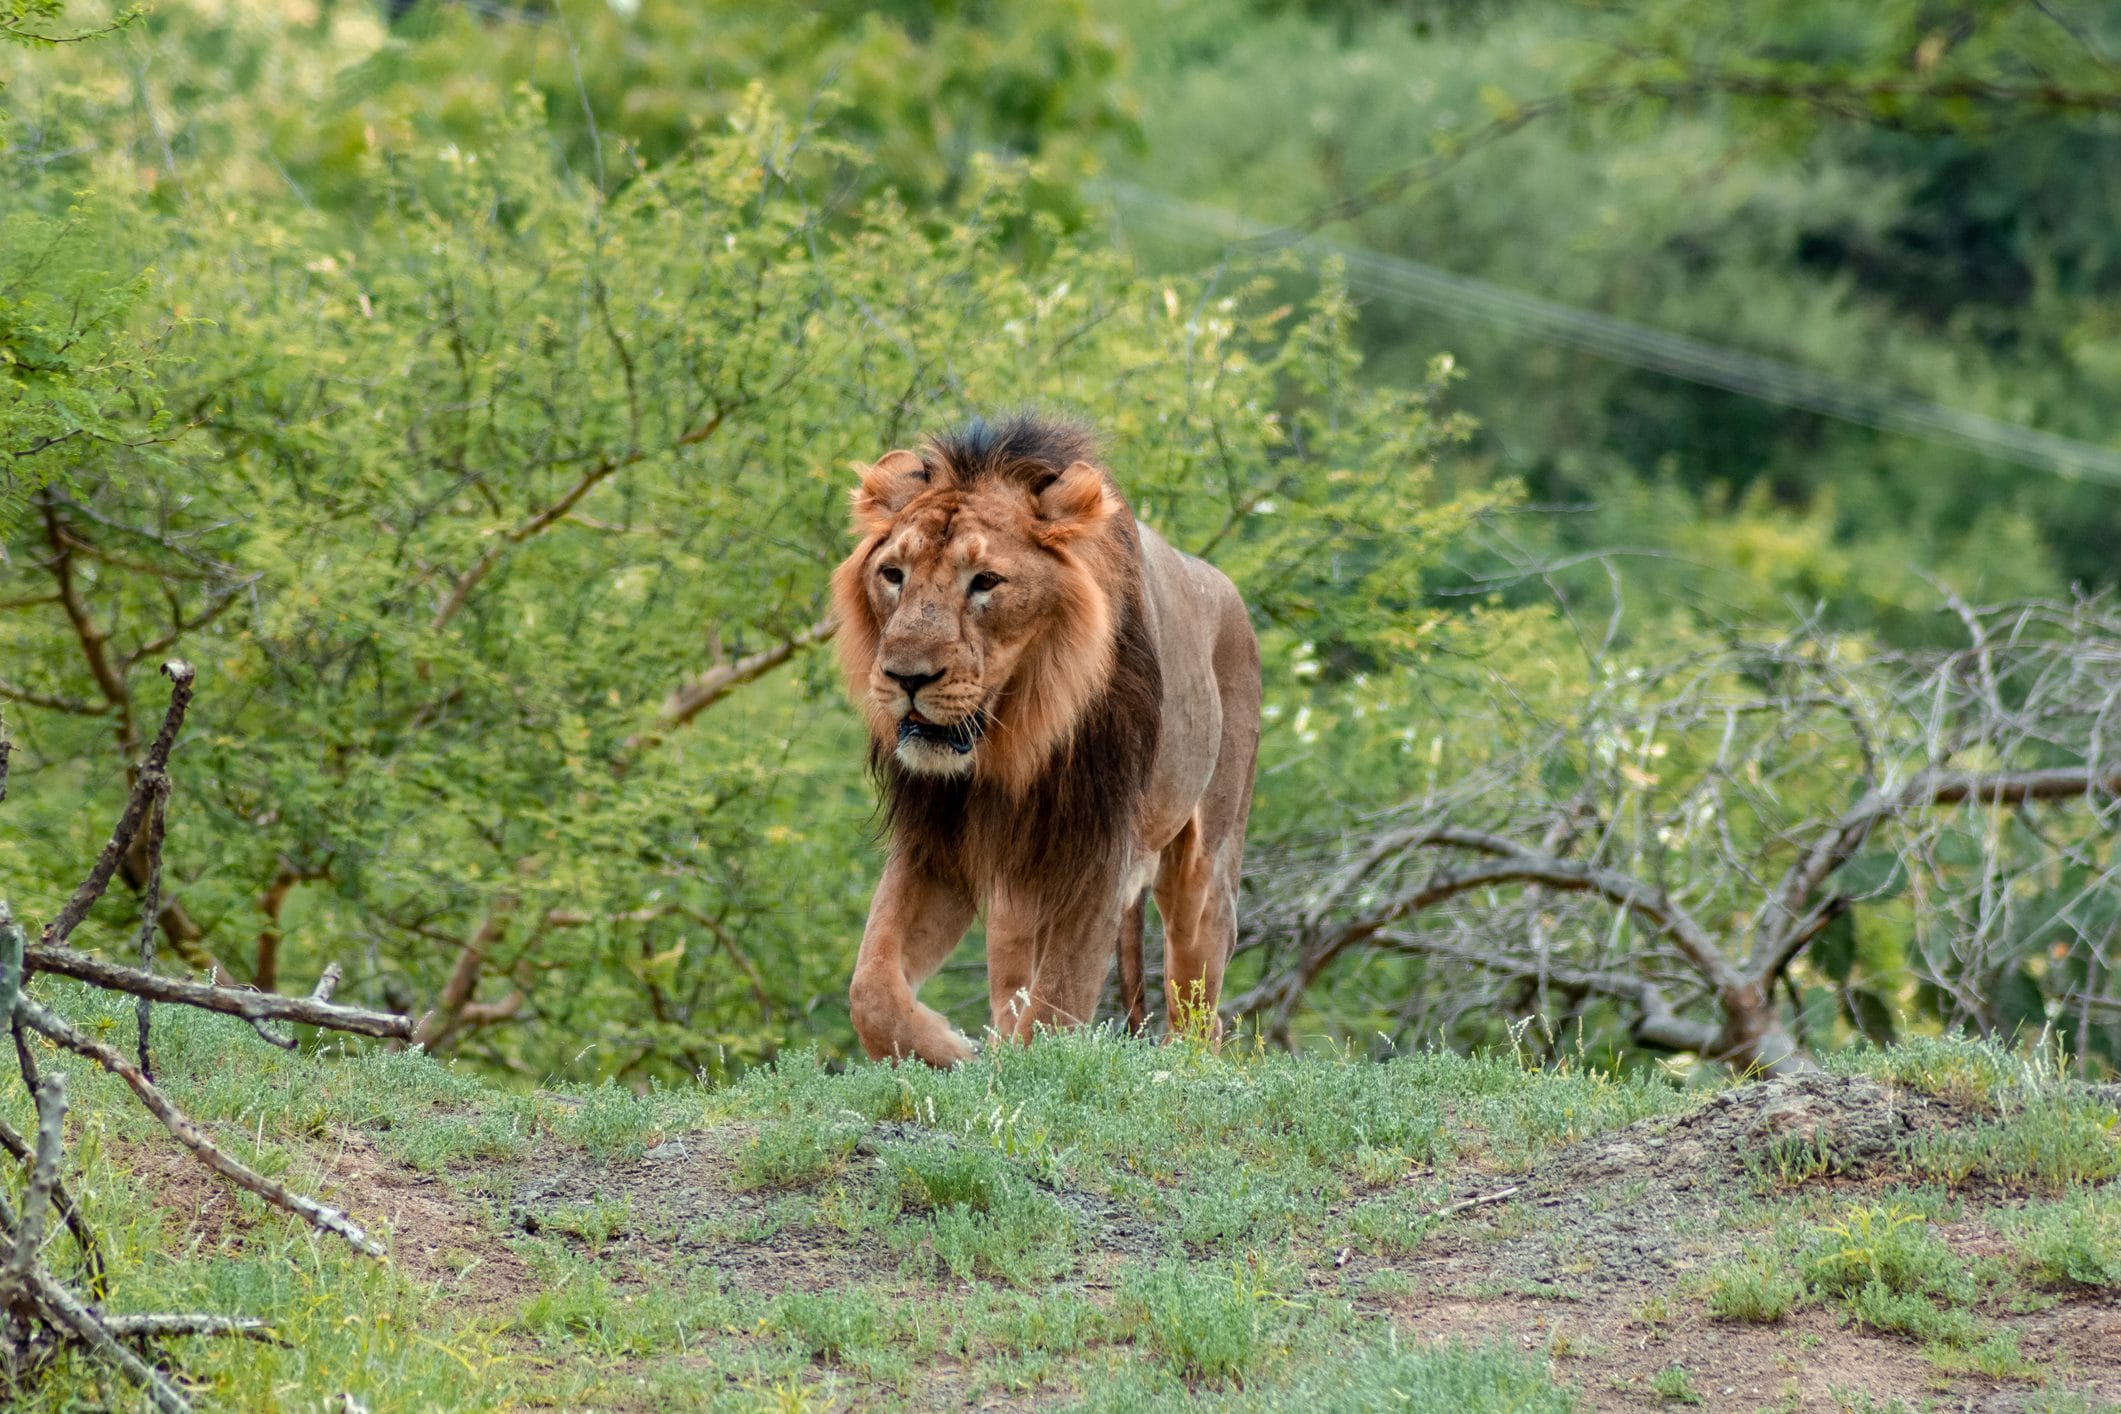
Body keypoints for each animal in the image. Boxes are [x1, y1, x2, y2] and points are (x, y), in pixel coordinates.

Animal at [829, 413, 1261, 1066]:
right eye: (893, 575)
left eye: (985, 581)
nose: (906, 677)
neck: (1015, 744)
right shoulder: (935, 842)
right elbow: (872, 989)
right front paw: (955, 1054)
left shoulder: (1101, 848)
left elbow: (1059, 1000)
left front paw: (1028, 1070)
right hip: (1018, 897)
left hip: (1206, 865)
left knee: (1197, 1003)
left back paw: (1185, 1067)